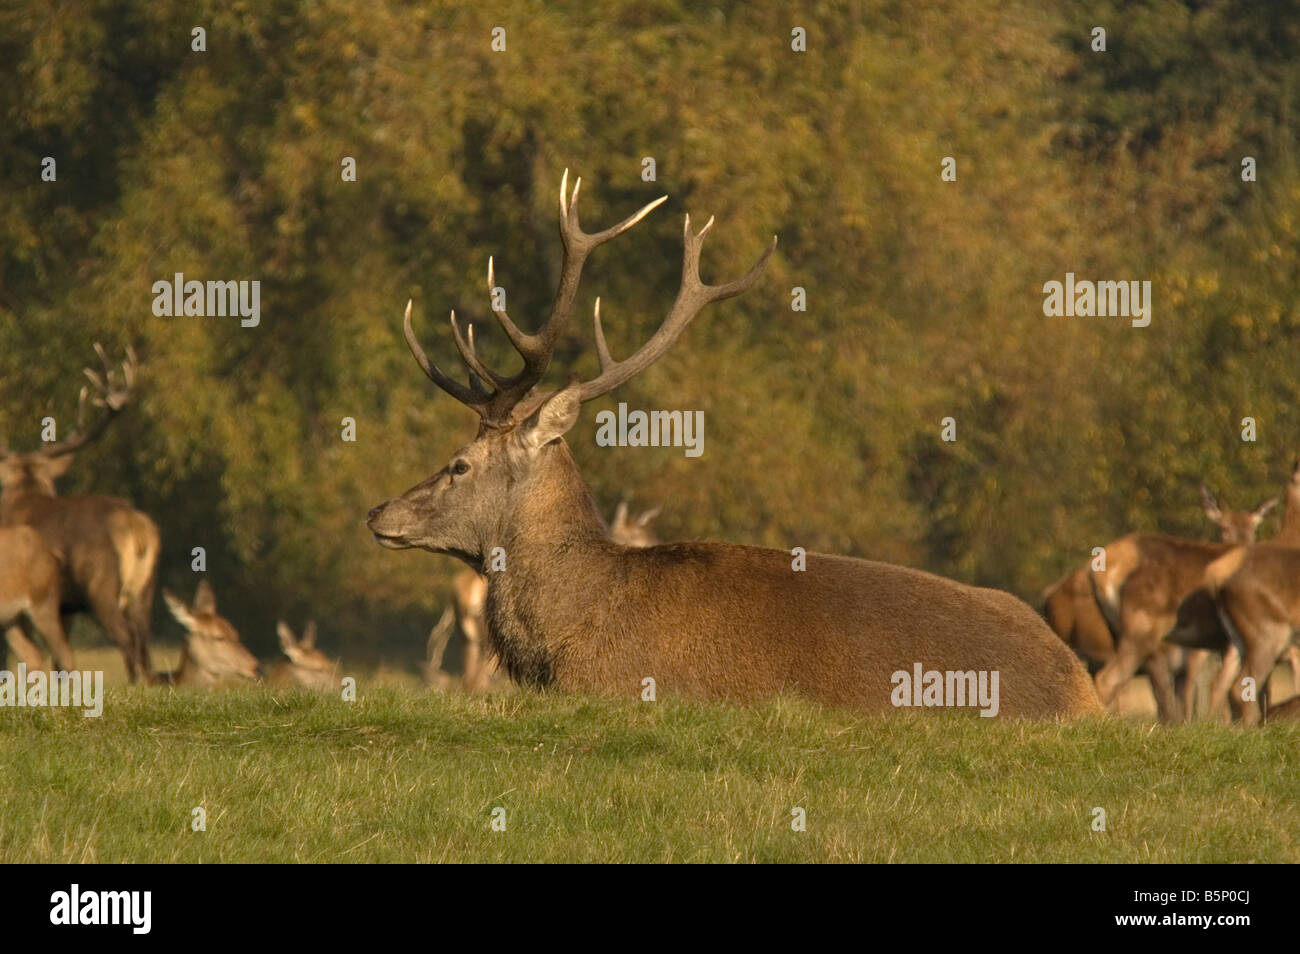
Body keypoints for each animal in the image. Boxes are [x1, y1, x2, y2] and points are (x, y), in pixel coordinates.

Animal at [1088, 485, 1277, 722]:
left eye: (1254, 529)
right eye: (1223, 528)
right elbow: (1223, 687)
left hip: (1120, 630)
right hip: (1143, 627)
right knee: (1110, 679)